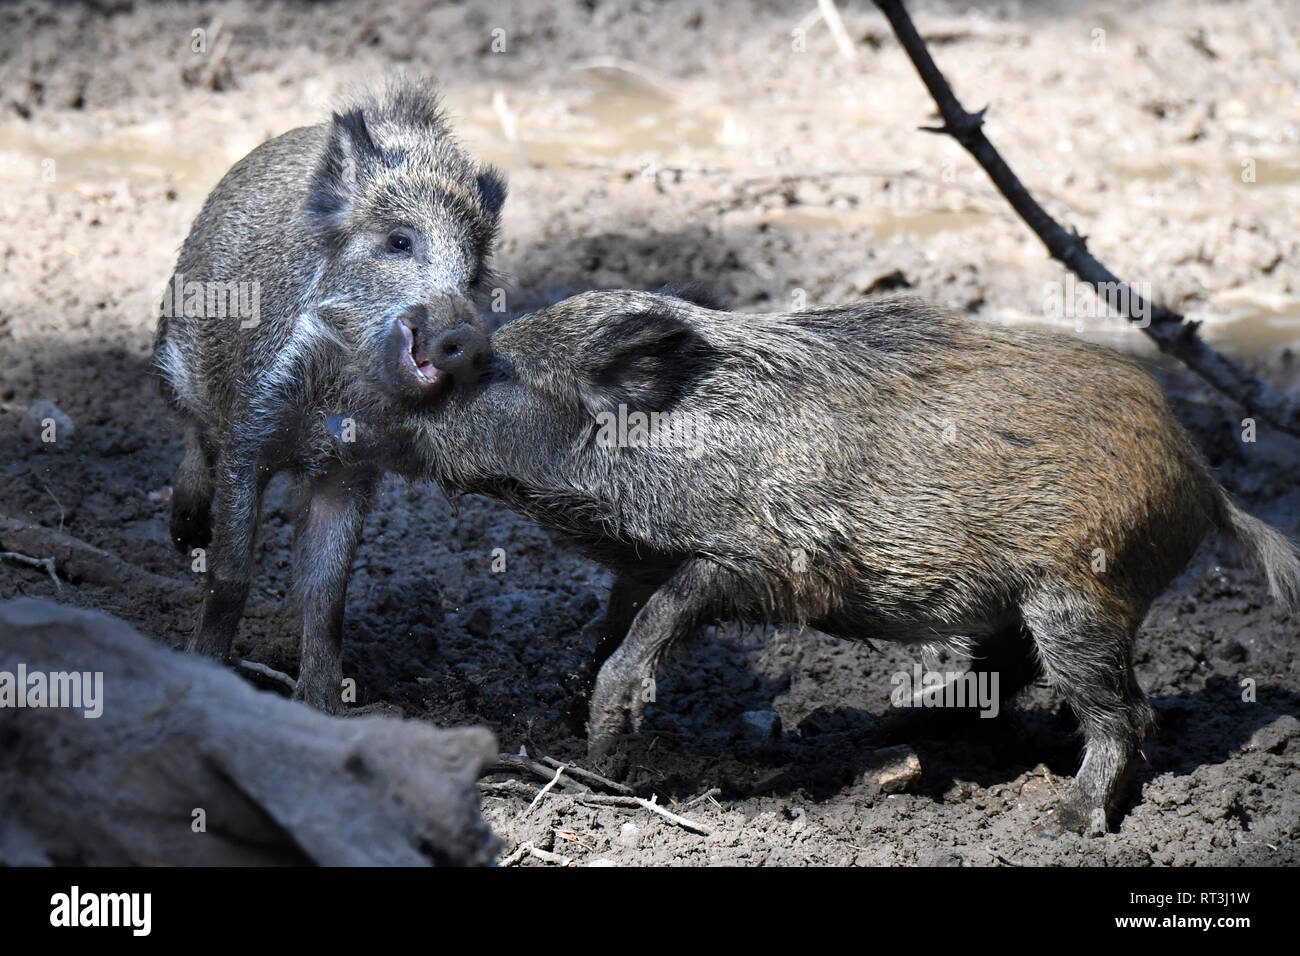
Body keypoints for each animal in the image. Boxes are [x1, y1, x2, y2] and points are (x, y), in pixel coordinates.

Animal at [152, 77, 505, 711]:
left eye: (473, 277)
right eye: (399, 241)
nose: (466, 338)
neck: (333, 397)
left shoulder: (351, 472)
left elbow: (327, 597)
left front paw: (322, 707)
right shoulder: (249, 434)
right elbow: (230, 575)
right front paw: (206, 669)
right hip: (175, 355)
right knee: (195, 432)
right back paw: (185, 533)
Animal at [393, 288, 1299, 833]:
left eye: (496, 369)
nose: (391, 413)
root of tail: (1200, 478)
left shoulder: (770, 559)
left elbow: (652, 629)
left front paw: (607, 751)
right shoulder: (640, 563)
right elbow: (611, 628)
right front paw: (566, 718)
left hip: (1078, 592)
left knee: (1124, 712)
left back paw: (1066, 821)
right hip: (1020, 599)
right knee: (1009, 668)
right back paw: (907, 725)